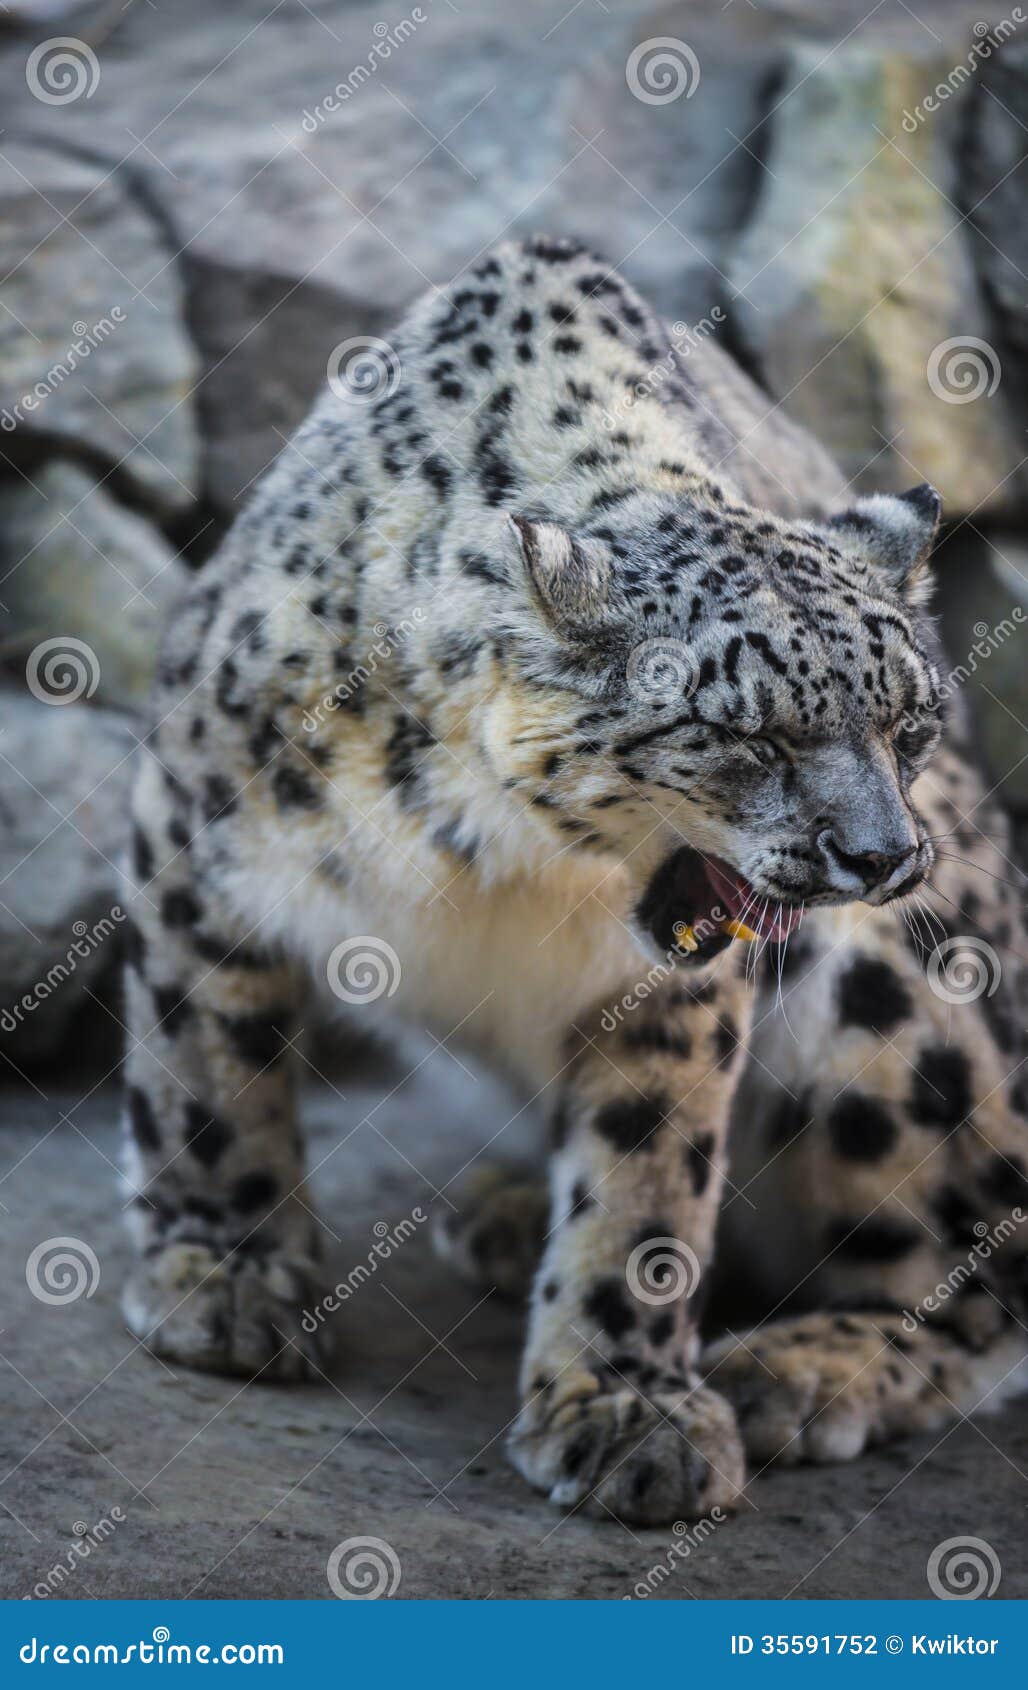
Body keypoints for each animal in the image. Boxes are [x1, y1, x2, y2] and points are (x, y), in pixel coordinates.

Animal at [121, 235, 1028, 1525]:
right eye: (746, 734)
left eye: (909, 725)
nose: (880, 855)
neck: (482, 846)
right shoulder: (198, 823)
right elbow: (203, 1071)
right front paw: (227, 1276)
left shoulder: (669, 994)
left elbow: (647, 1176)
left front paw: (627, 1411)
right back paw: (503, 1220)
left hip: (899, 1010)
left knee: (981, 1273)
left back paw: (793, 1368)